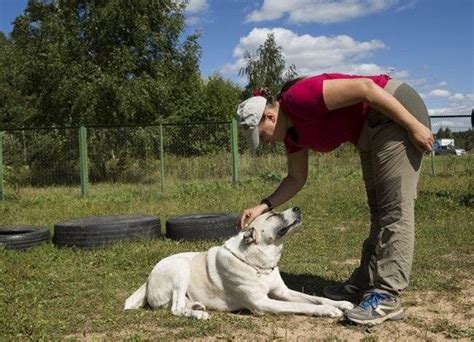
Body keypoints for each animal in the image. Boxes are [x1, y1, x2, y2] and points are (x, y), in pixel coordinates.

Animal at [124, 207, 354, 320]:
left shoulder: (283, 292)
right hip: (180, 268)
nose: (297, 207)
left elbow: (314, 298)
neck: (258, 263)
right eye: (272, 215)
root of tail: (147, 279)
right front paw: (328, 310)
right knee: (175, 309)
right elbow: (301, 305)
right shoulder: (262, 303)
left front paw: (341, 303)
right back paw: (198, 314)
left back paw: (197, 306)